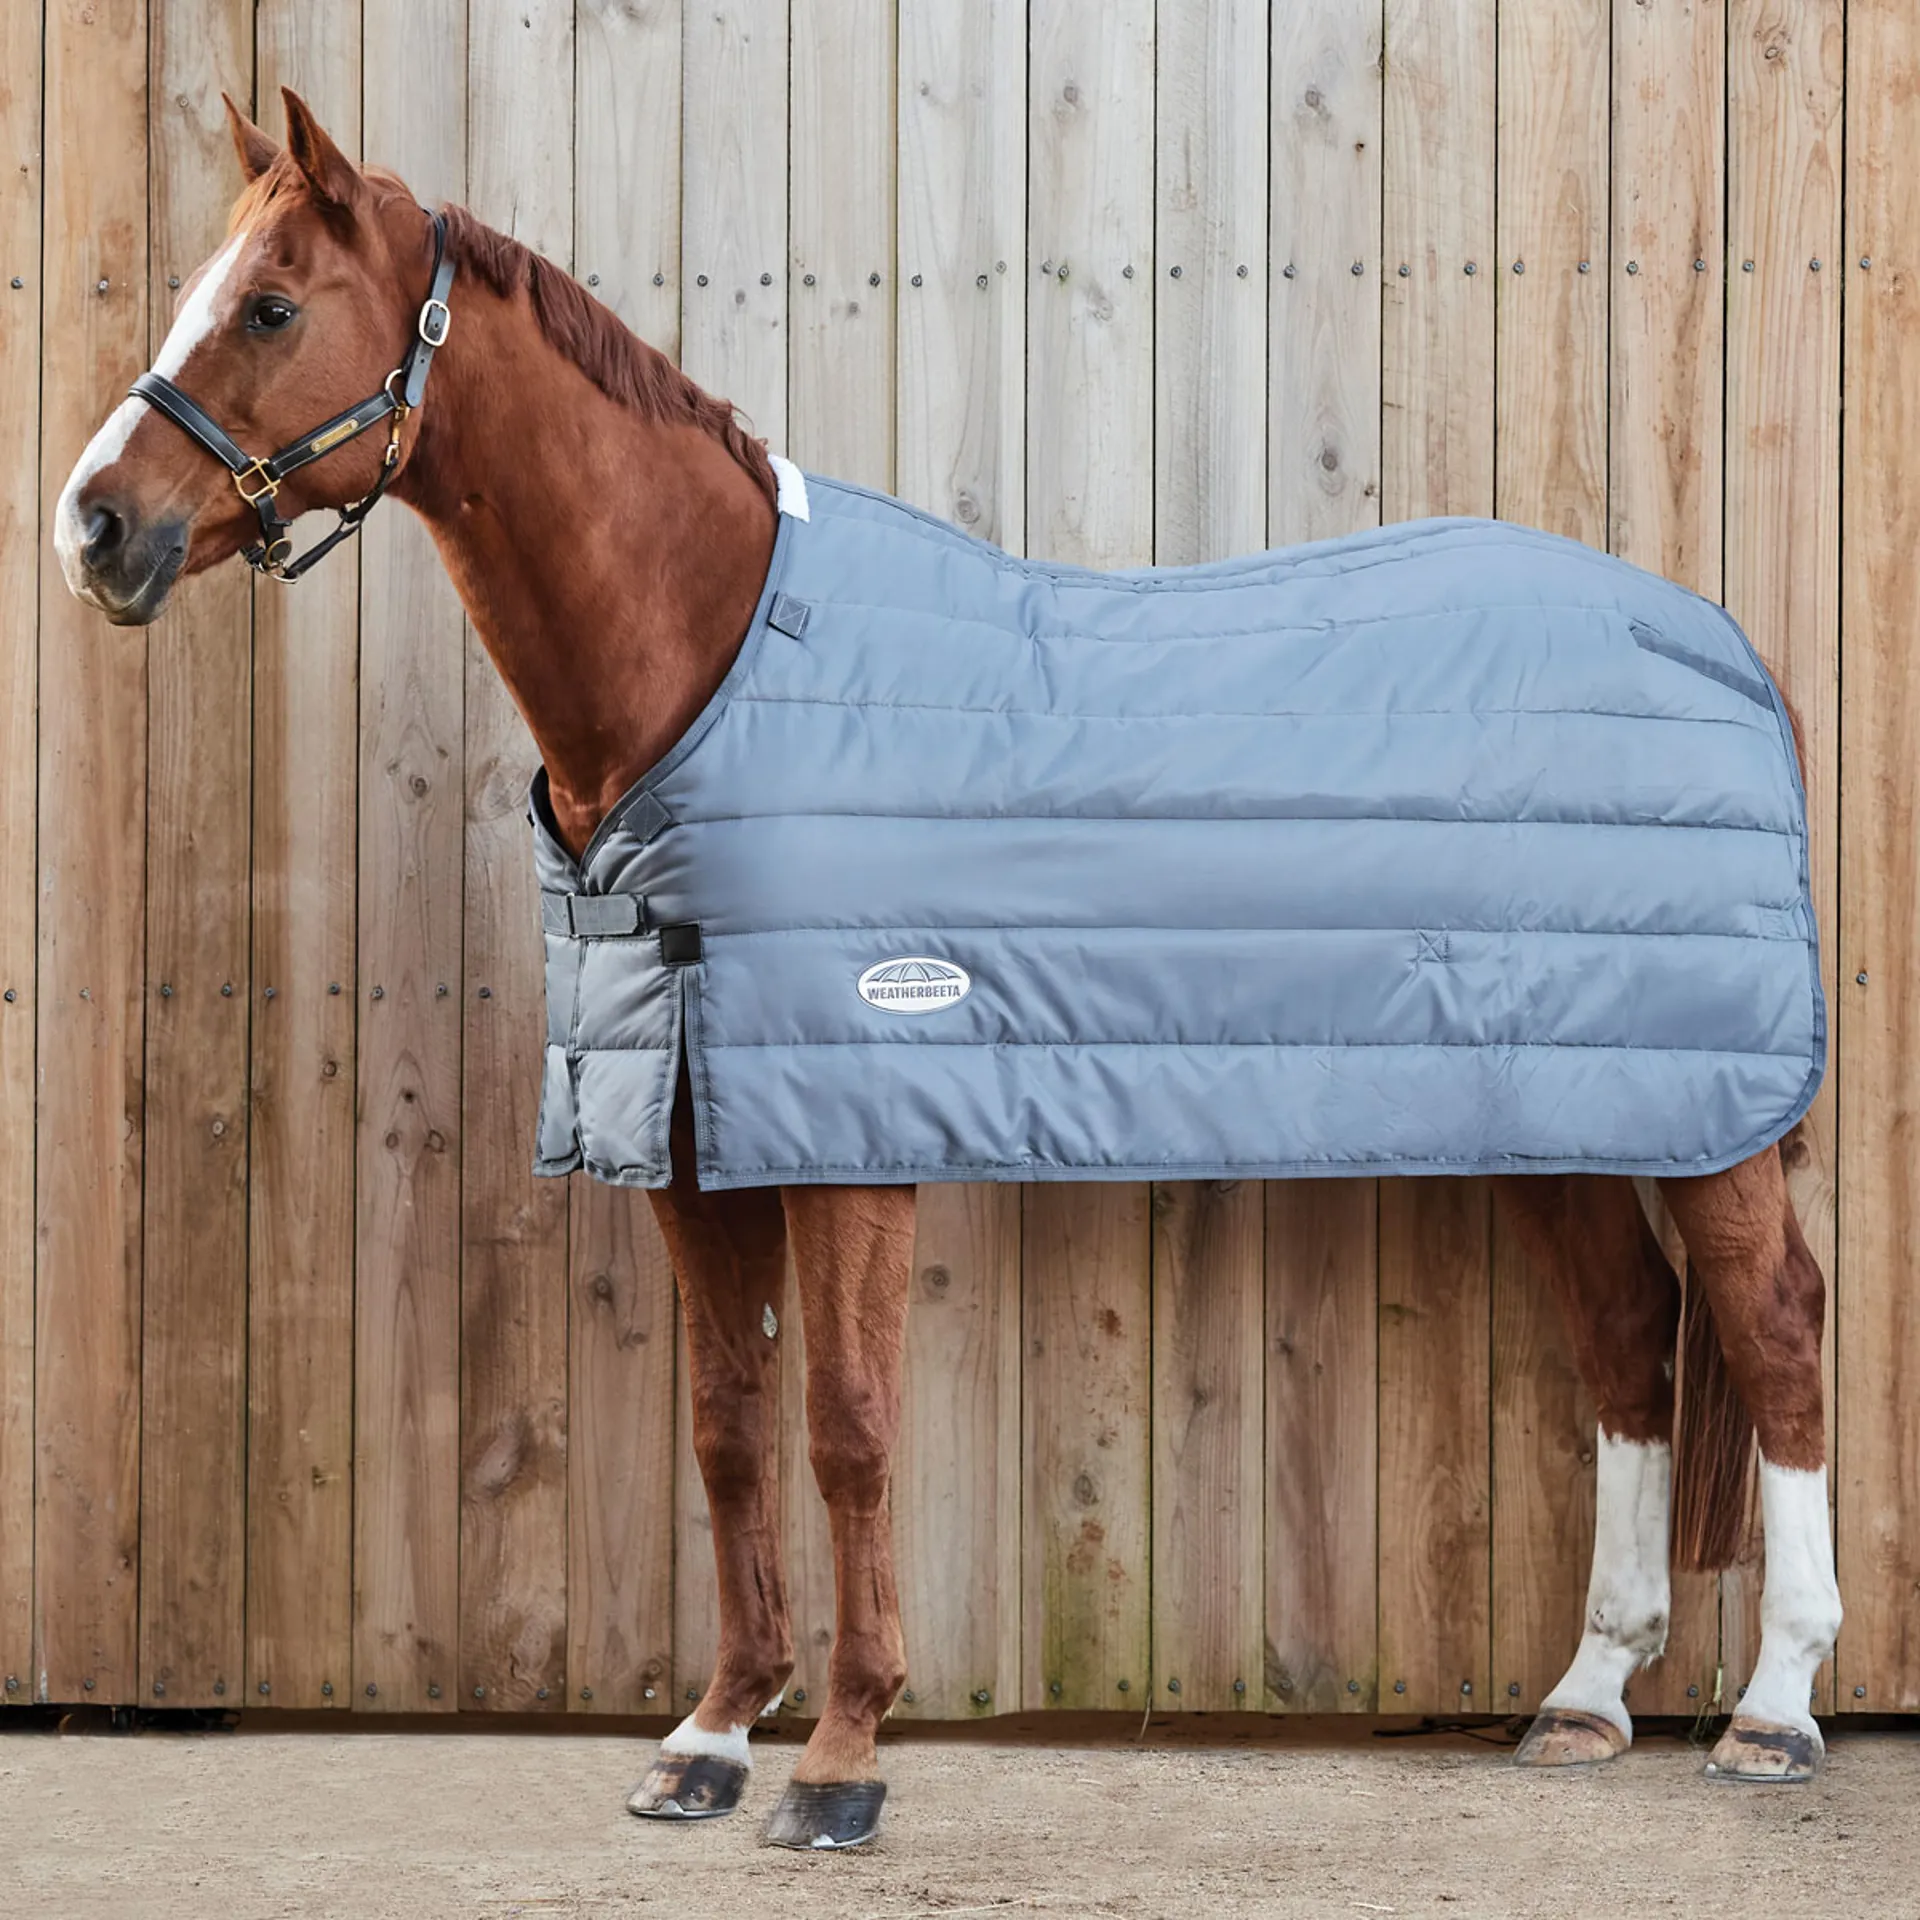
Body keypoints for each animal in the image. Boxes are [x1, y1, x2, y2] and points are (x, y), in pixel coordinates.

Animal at [55, 90, 1842, 1849]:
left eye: (272, 308)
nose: (94, 527)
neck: (713, 668)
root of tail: (1717, 644)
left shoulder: (850, 1132)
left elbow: (847, 1430)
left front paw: (843, 1758)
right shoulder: (691, 1138)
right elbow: (729, 1429)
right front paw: (712, 1738)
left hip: (1709, 1118)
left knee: (1773, 1328)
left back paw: (1772, 1712)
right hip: (1575, 1110)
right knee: (1628, 1339)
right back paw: (1586, 1700)